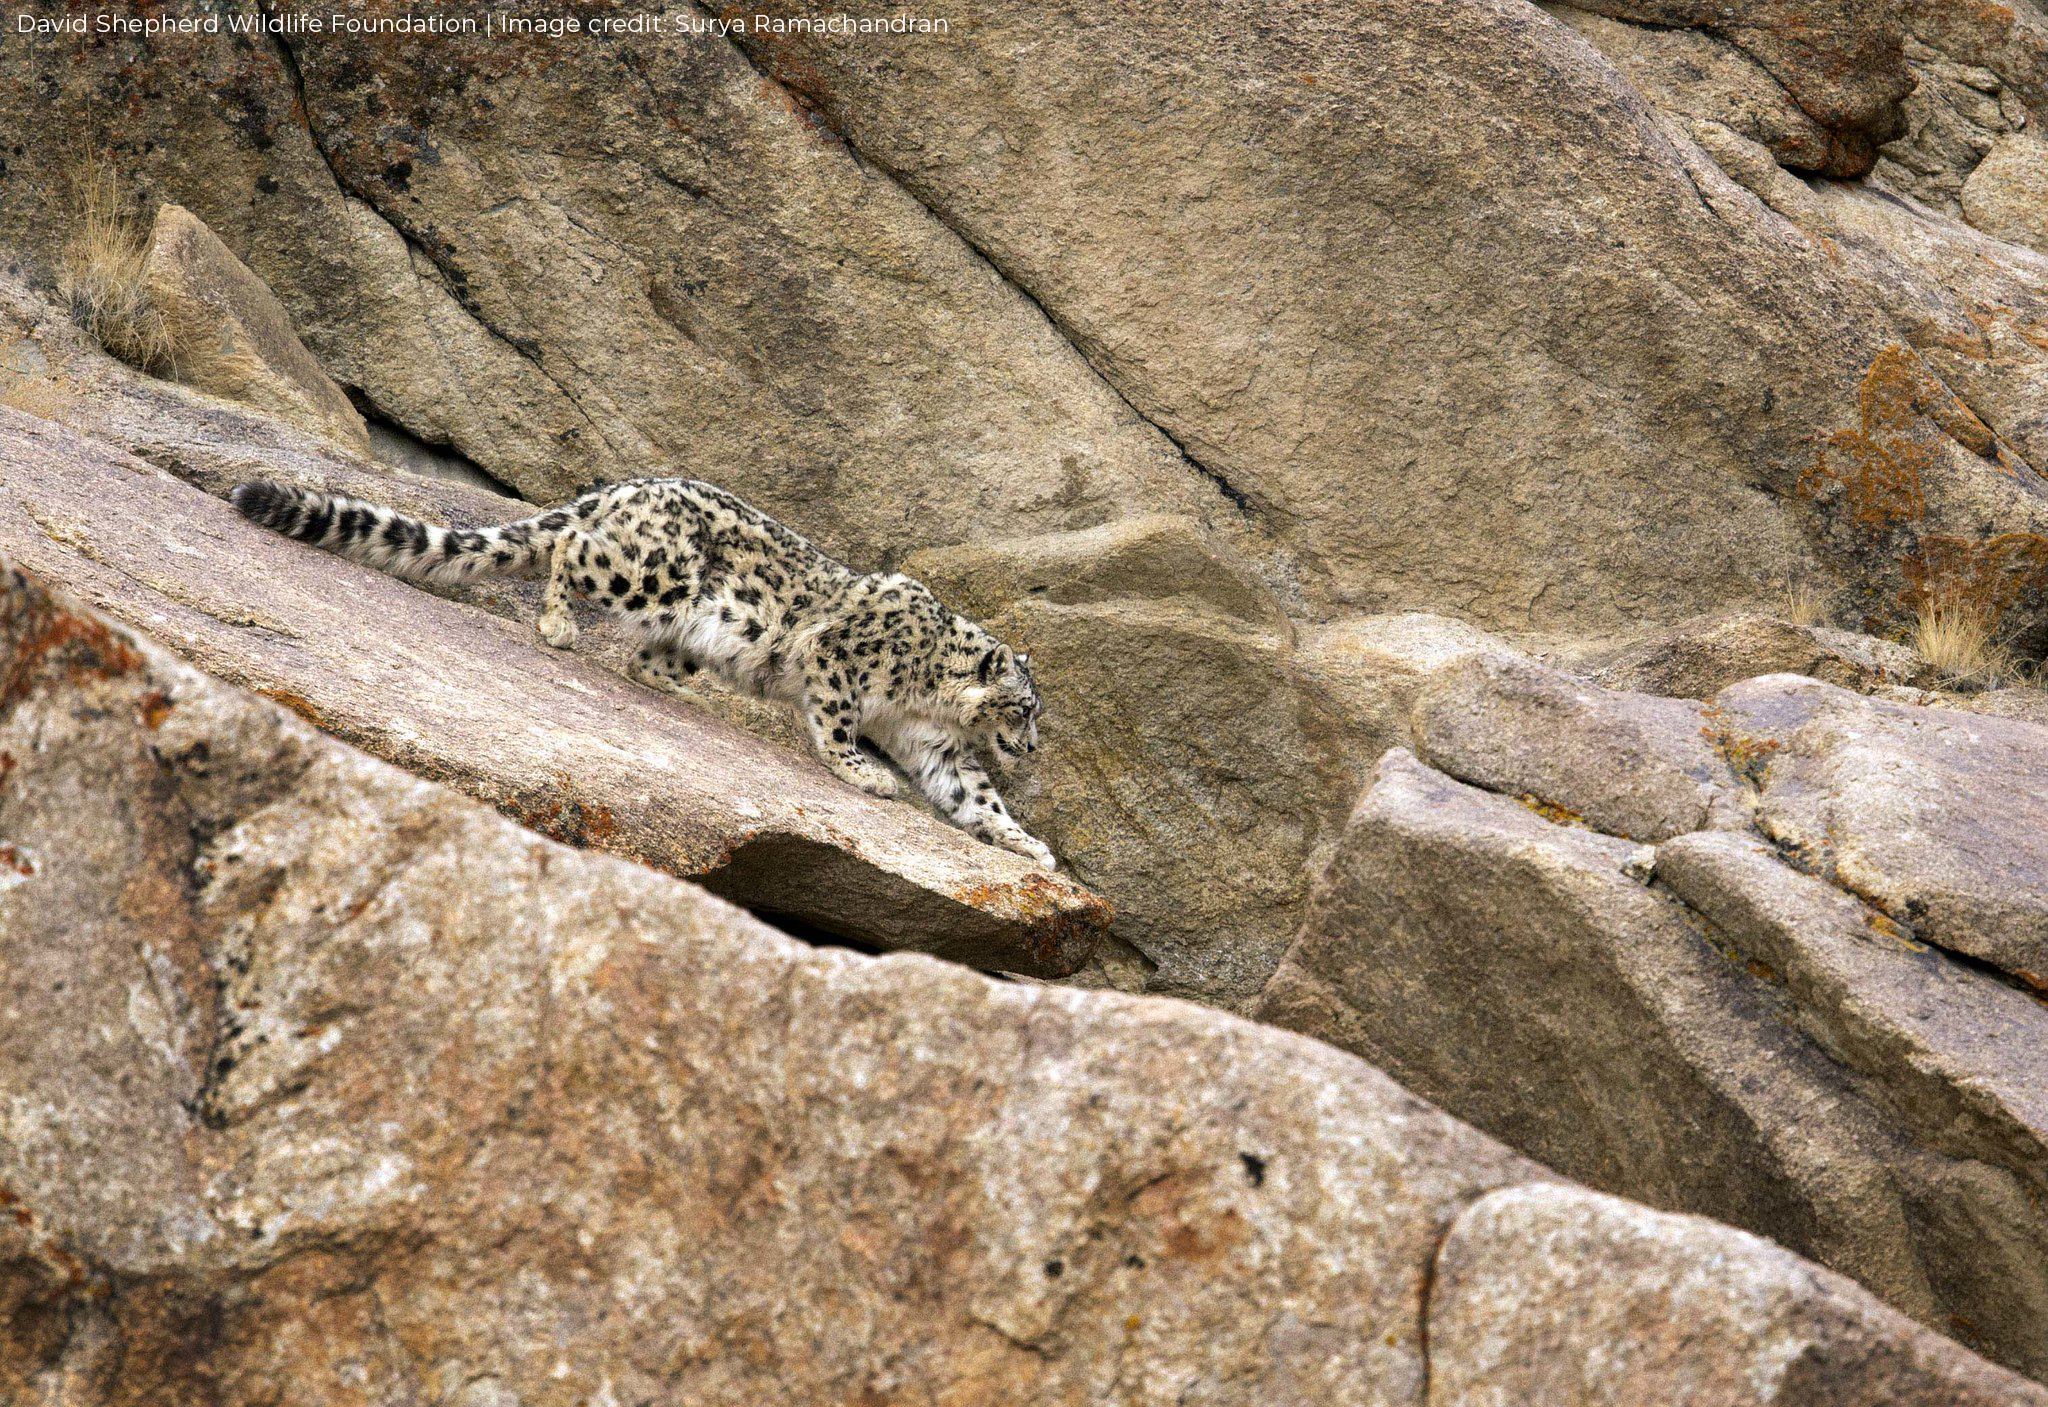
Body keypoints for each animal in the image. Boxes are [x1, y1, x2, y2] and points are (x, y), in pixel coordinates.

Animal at [231, 476, 1057, 868]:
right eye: (1023, 708)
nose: (1033, 747)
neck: (933, 701)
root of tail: (627, 485)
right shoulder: (837, 662)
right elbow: (837, 722)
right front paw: (864, 772)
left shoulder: (937, 745)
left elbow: (974, 794)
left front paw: (1028, 844)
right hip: (655, 573)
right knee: (573, 551)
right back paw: (559, 625)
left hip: (687, 621)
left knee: (642, 651)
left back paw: (679, 685)